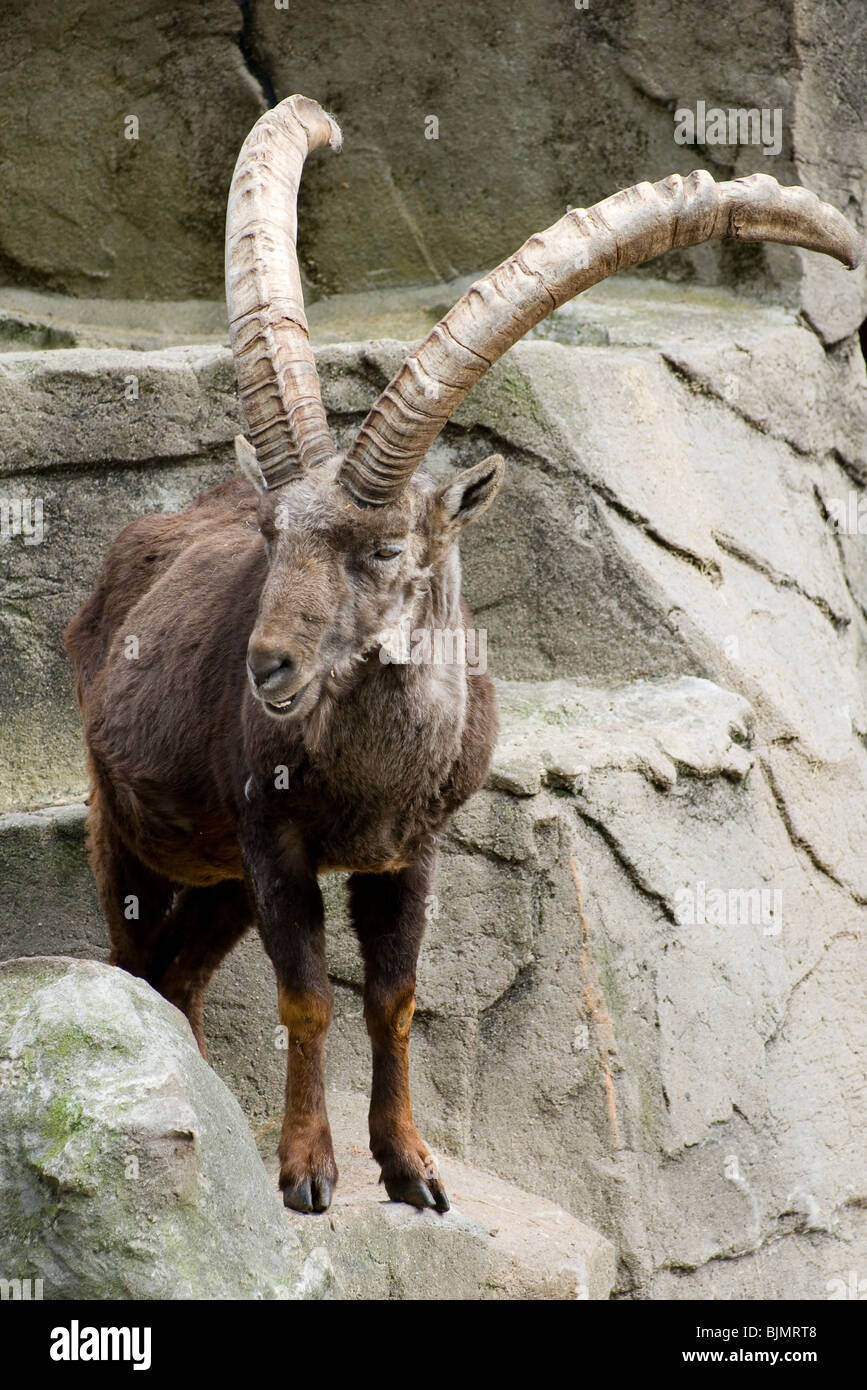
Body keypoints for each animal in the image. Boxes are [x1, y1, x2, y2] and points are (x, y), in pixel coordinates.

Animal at [64, 94, 860, 1214]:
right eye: (271, 533)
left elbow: (393, 1000)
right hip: (129, 826)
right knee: (134, 962)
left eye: (387, 548)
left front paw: (412, 1170)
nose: (268, 670)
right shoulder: (276, 842)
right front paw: (306, 1173)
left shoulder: (410, 852)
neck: (366, 771)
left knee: (180, 972)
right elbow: (308, 1000)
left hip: (218, 876)